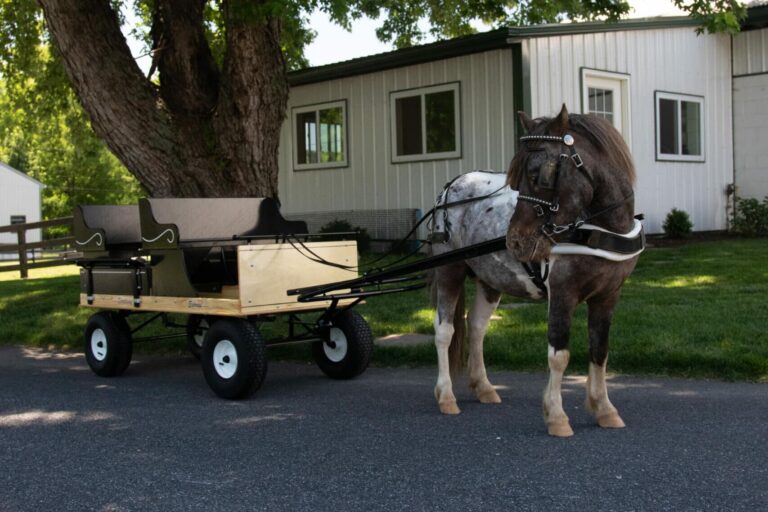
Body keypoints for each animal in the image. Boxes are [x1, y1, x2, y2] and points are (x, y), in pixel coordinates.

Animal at [429, 105, 643, 437]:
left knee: (476, 327)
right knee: (445, 331)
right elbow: (559, 355)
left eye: (537, 174)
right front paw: (556, 416)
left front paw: (604, 409)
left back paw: (483, 387)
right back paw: (446, 396)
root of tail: (451, 186)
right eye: (516, 179)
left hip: (490, 281)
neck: (598, 229)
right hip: (449, 270)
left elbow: (600, 350)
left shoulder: (608, 295)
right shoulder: (563, 293)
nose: (515, 241)